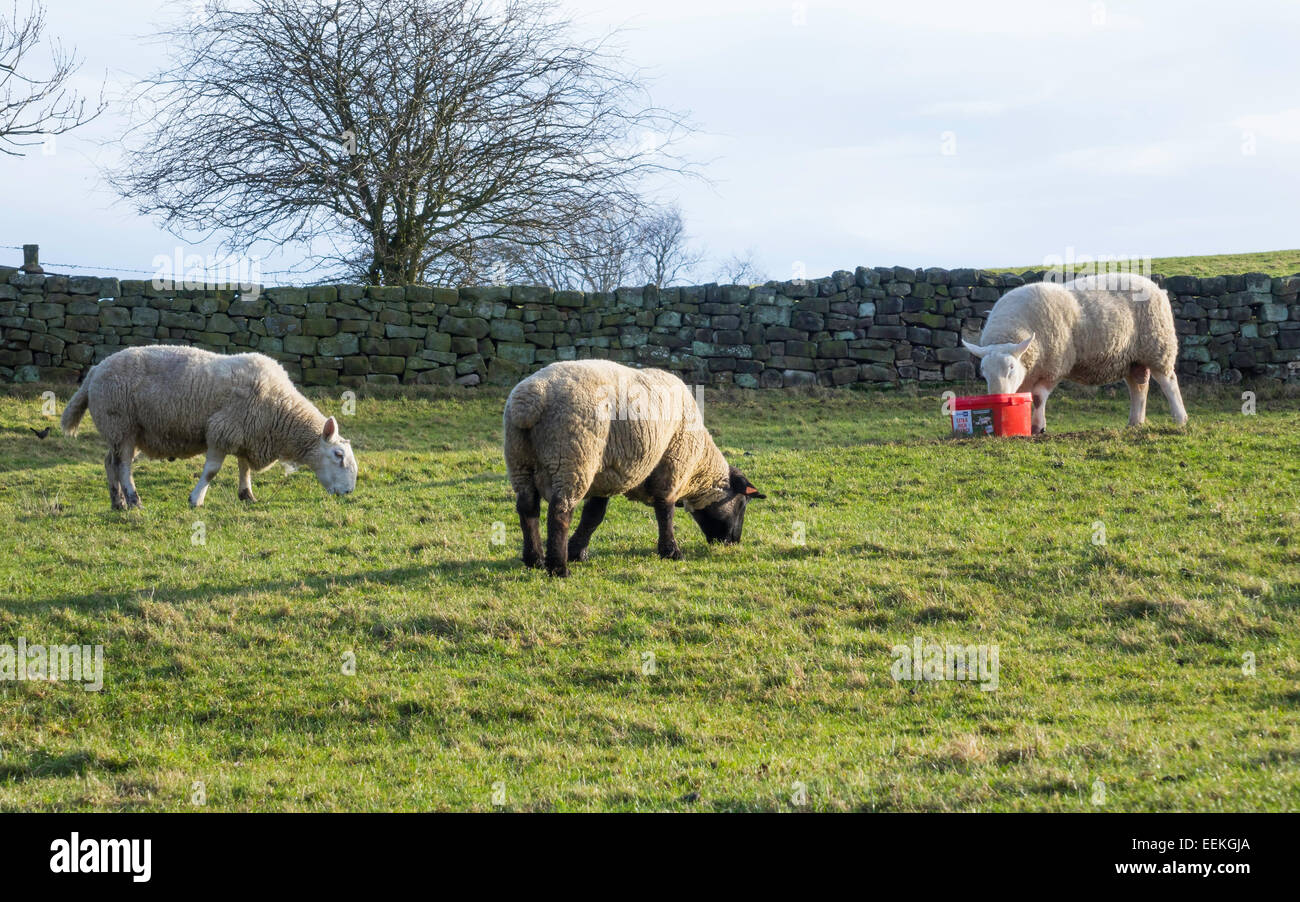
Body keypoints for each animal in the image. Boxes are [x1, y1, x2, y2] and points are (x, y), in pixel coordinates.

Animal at [61, 345, 357, 509]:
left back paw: (118, 502)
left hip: (126, 432)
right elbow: (212, 471)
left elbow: (244, 467)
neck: (280, 411)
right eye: (338, 456)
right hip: (121, 425)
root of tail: (95, 371)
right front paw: (196, 500)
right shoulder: (221, 430)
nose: (348, 492)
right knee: (123, 466)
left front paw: (247, 495)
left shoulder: (246, 433)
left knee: (110, 462)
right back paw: (134, 500)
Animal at [503, 359, 765, 576]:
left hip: (519, 459)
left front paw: (578, 551)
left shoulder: (605, 475)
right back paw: (558, 568)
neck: (698, 468)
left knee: (527, 508)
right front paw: (671, 551)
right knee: (559, 512)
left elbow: (593, 516)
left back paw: (535, 559)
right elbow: (665, 510)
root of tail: (530, 401)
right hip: (573, 458)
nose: (733, 541)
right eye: (742, 504)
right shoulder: (672, 463)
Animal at [961, 273, 1188, 433]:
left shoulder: (1055, 365)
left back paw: (1180, 419)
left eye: (1010, 367)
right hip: (1133, 360)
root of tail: (1155, 286)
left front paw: (1038, 427)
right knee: (1139, 388)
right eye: (983, 371)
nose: (996, 395)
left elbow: (1038, 397)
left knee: (1168, 382)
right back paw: (1135, 422)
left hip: (1158, 346)